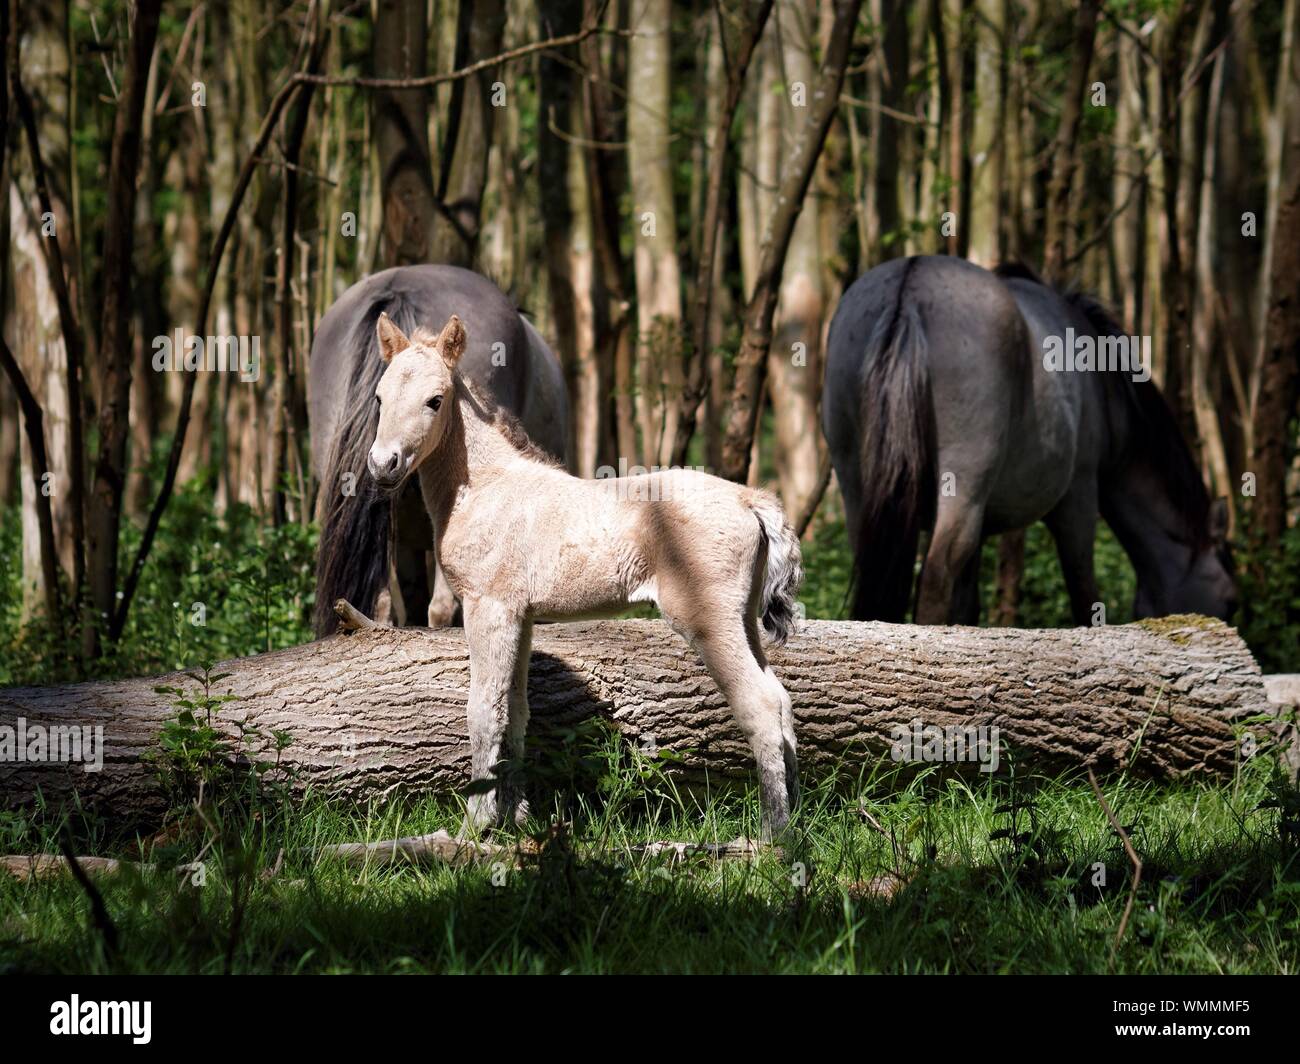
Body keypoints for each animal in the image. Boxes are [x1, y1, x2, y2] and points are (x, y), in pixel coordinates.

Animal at [365, 313, 803, 840]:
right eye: (380, 398)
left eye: (435, 400)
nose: (382, 464)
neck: (487, 488)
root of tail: (748, 499)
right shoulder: (521, 617)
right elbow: (516, 712)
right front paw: (516, 819)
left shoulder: (489, 608)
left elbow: (483, 711)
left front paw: (475, 826)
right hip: (743, 620)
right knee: (781, 700)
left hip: (708, 619)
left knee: (760, 705)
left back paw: (774, 836)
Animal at [821, 255, 1237, 626]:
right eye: (1230, 603)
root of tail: (912, 281)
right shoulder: (1078, 502)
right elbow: (1085, 597)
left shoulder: (980, 529)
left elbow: (966, 609)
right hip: (961, 492)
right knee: (935, 581)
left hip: (860, 491)